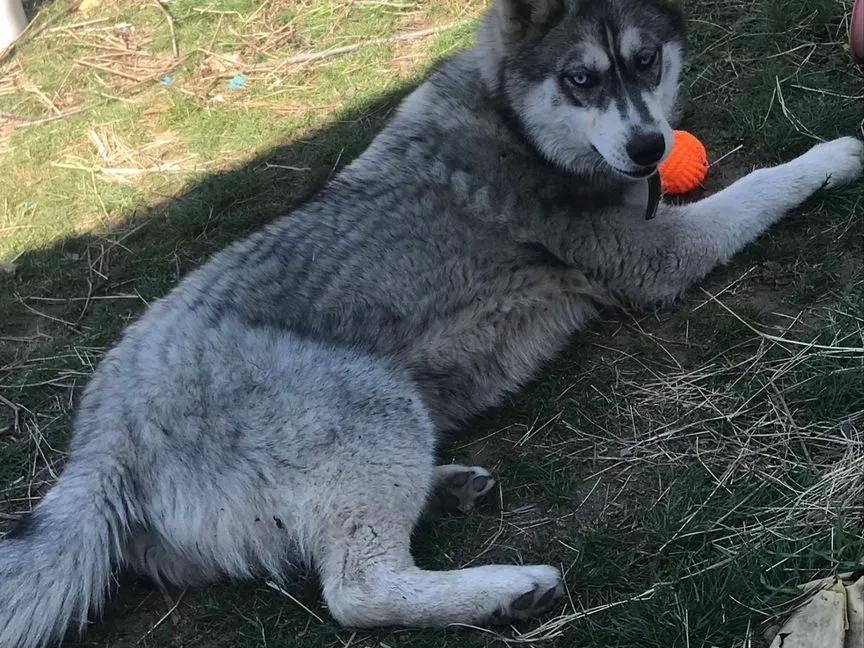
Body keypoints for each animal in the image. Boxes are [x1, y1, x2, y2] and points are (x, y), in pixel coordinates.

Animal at [1, 0, 864, 644]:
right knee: (359, 589)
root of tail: (99, 443)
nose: (651, 145)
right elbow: (761, 186)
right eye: (581, 79)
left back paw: (448, 487)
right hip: (367, 400)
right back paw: (511, 587)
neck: (512, 120)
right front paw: (831, 158)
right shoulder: (660, 255)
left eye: (646, 61)